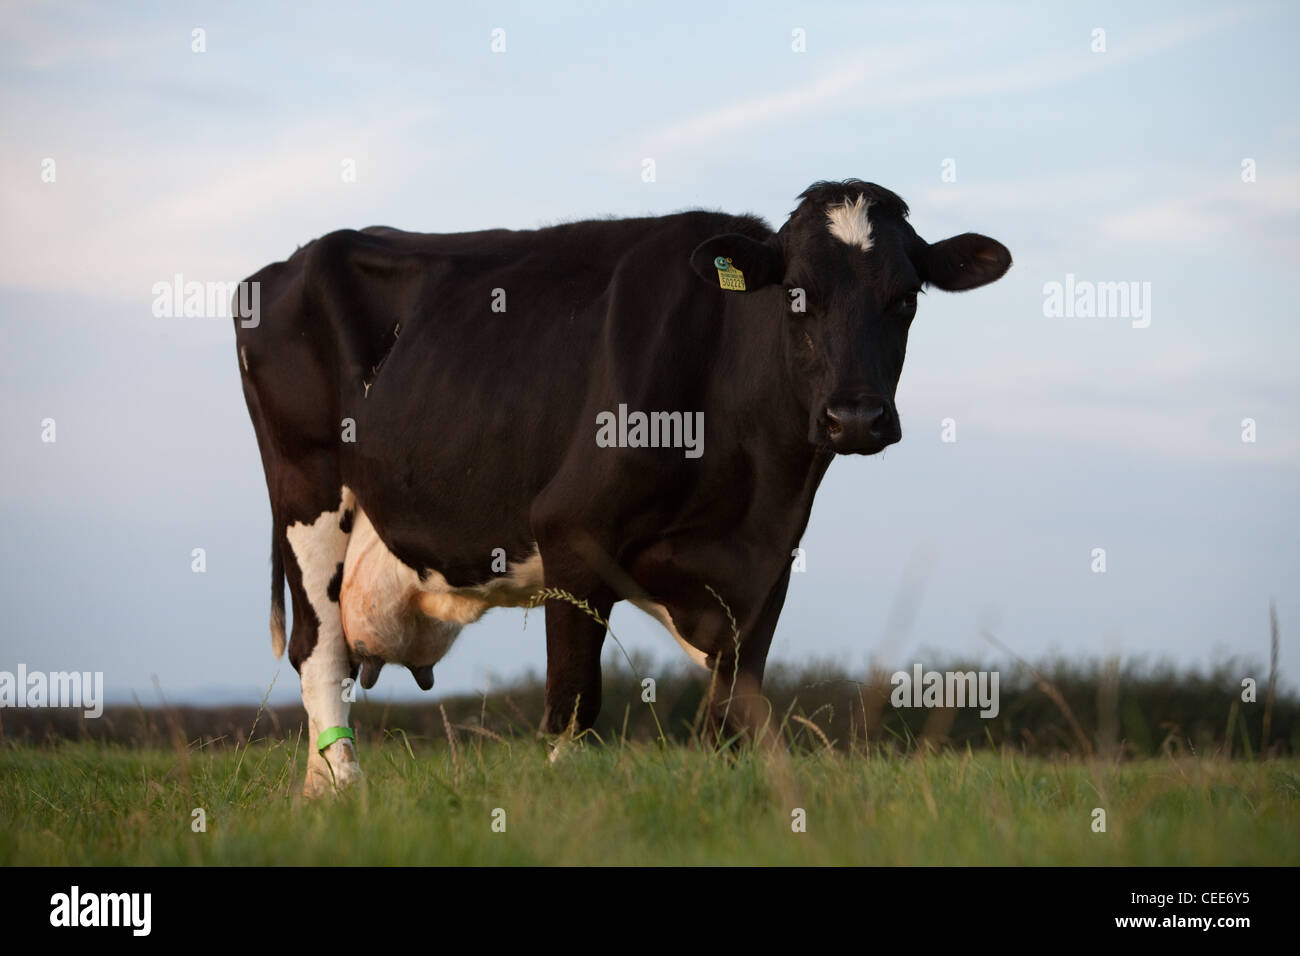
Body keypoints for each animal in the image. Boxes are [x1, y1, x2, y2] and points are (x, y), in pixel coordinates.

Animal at [234, 179, 1011, 795]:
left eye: (905, 298)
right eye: (799, 296)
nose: (855, 417)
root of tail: (285, 263)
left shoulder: (769, 567)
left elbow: (732, 705)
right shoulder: (570, 533)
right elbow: (574, 700)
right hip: (307, 493)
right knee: (320, 650)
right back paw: (340, 788)